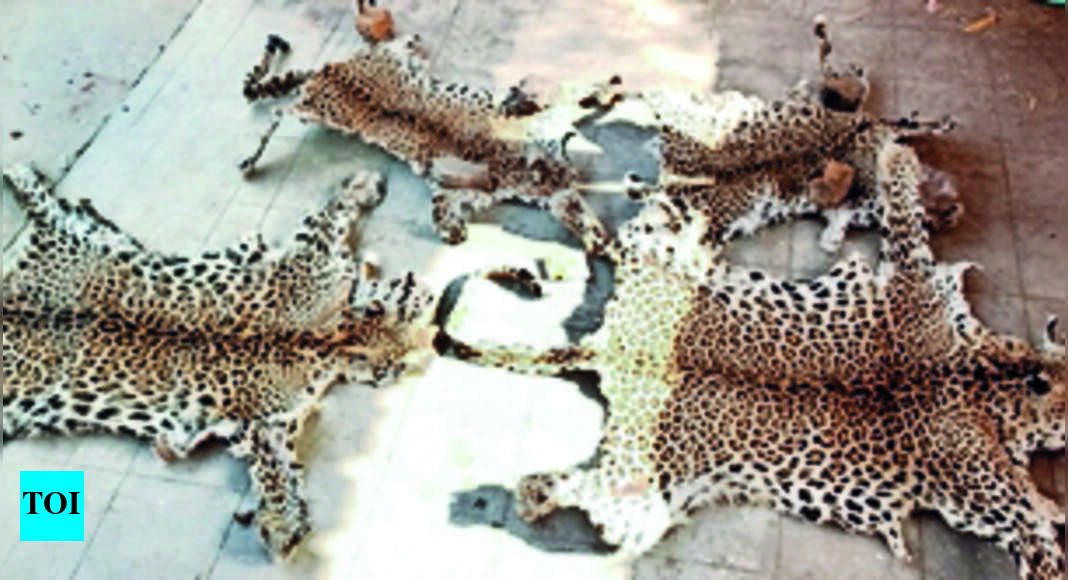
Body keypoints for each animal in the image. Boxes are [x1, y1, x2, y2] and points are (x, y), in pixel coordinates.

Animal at [1, 165, 438, 560]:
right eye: (394, 367)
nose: (435, 341)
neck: (328, 337)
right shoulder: (305, 265)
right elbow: (272, 471)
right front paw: (282, 524)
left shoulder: (268, 419)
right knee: (42, 202)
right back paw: (19, 172)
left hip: (82, 241)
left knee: (59, 210)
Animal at [237, 31, 605, 248]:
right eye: (573, 197)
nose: (576, 179)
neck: (510, 161)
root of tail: (326, 71)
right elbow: (450, 231)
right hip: (319, 109)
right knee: (275, 108)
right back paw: (252, 158)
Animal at [440, 141, 1066, 580]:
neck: (995, 378)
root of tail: (615, 346)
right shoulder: (914, 282)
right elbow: (904, 211)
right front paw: (900, 155)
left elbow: (1039, 519)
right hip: (641, 497)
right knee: (553, 490)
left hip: (667, 263)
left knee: (614, 240)